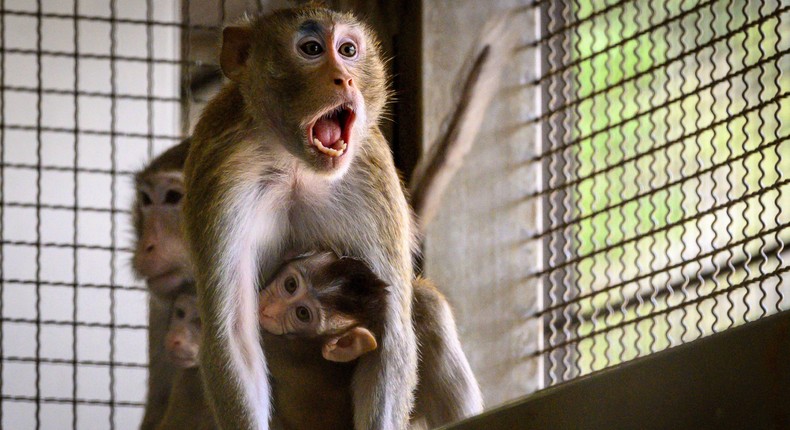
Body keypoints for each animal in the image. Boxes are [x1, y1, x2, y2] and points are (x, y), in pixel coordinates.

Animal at [182, 6, 417, 429]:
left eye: (348, 50)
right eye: (311, 49)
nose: (346, 77)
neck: (296, 165)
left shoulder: (372, 176)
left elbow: (391, 336)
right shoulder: (223, 173)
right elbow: (234, 331)